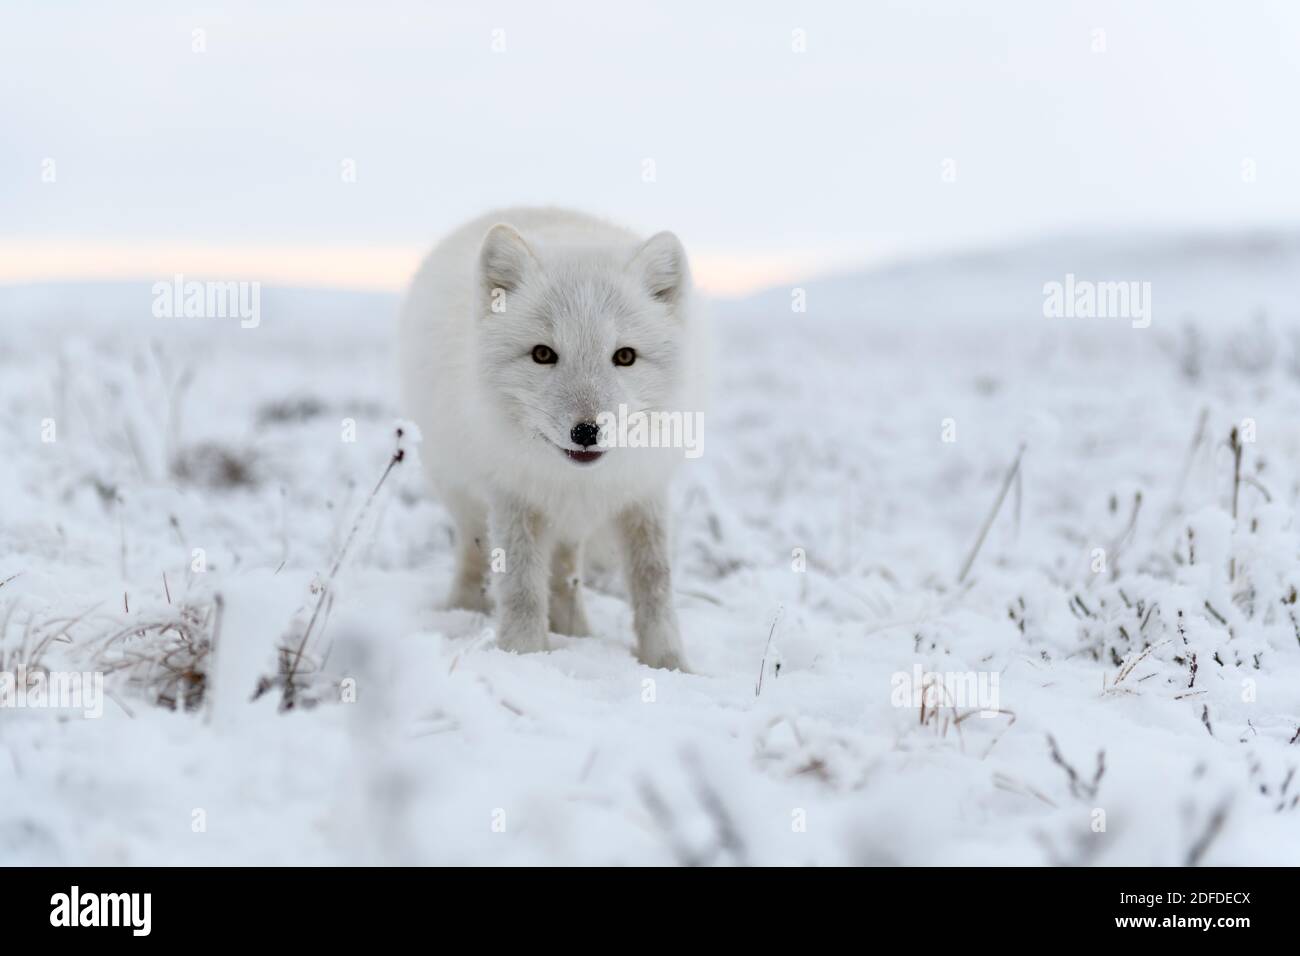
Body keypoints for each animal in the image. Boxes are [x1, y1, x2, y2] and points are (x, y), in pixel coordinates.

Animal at [398, 208, 702, 670]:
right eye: (543, 354)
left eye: (625, 356)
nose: (587, 431)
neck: (577, 478)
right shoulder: (513, 495)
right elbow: (521, 585)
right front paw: (523, 655)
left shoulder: (642, 492)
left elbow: (654, 581)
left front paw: (669, 664)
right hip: (464, 497)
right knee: (474, 555)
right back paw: (463, 610)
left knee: (564, 572)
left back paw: (574, 632)